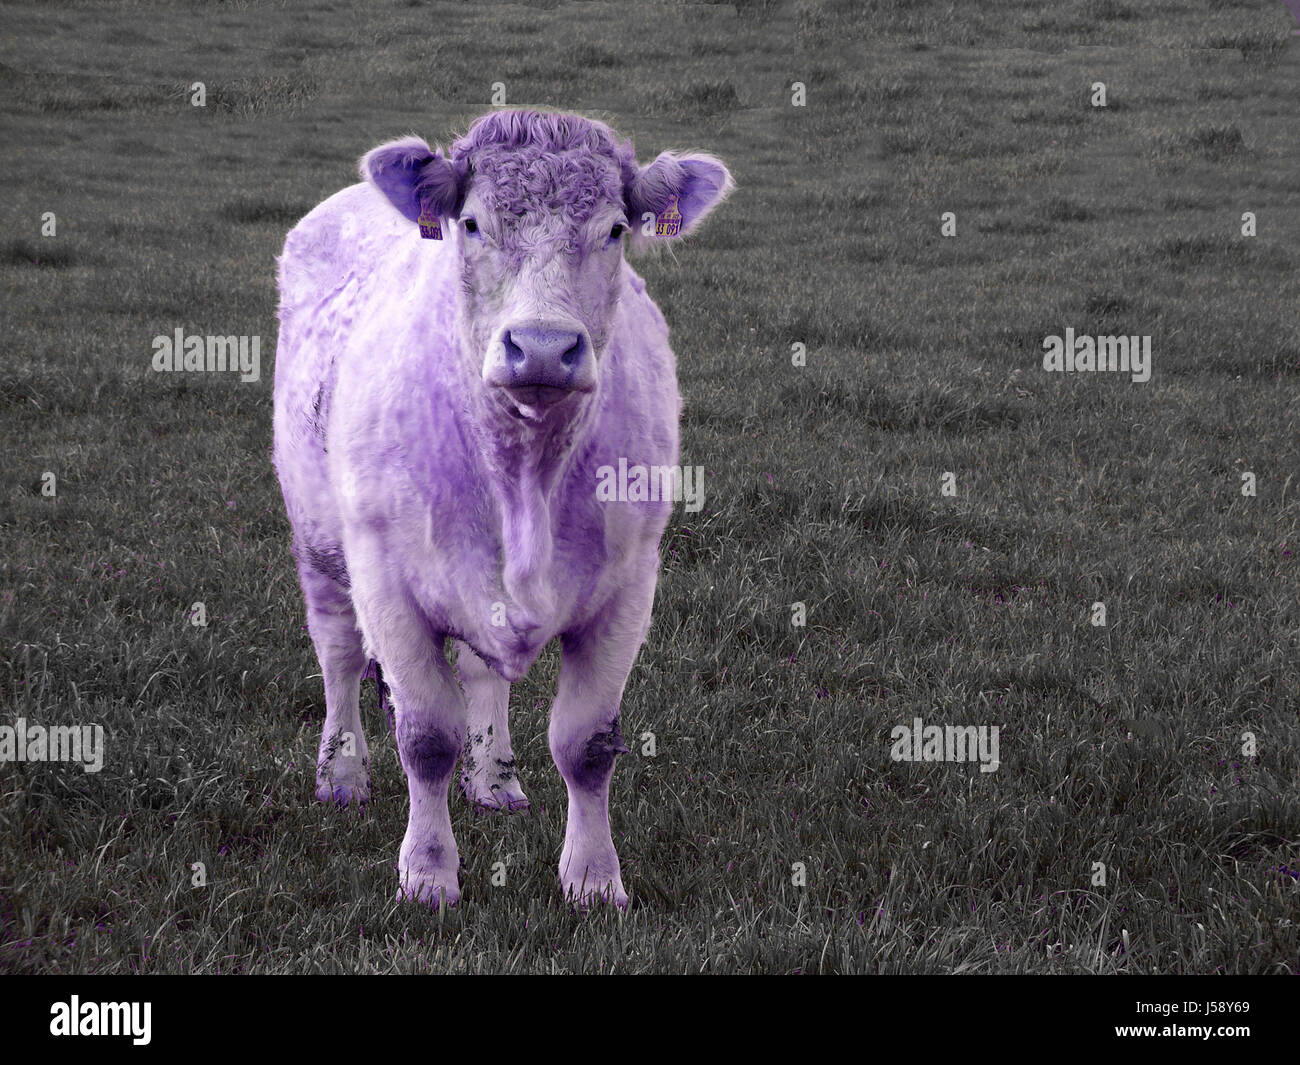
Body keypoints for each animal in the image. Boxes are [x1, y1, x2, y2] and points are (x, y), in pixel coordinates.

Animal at [272, 109, 732, 907]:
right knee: (337, 654)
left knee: (482, 674)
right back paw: (343, 773)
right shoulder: (387, 582)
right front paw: (428, 872)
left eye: (617, 229)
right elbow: (426, 738)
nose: (542, 348)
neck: (525, 476)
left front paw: (593, 877)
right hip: (320, 542)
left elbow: (587, 743)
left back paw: (494, 781)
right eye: (473, 224)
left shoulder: (629, 584)